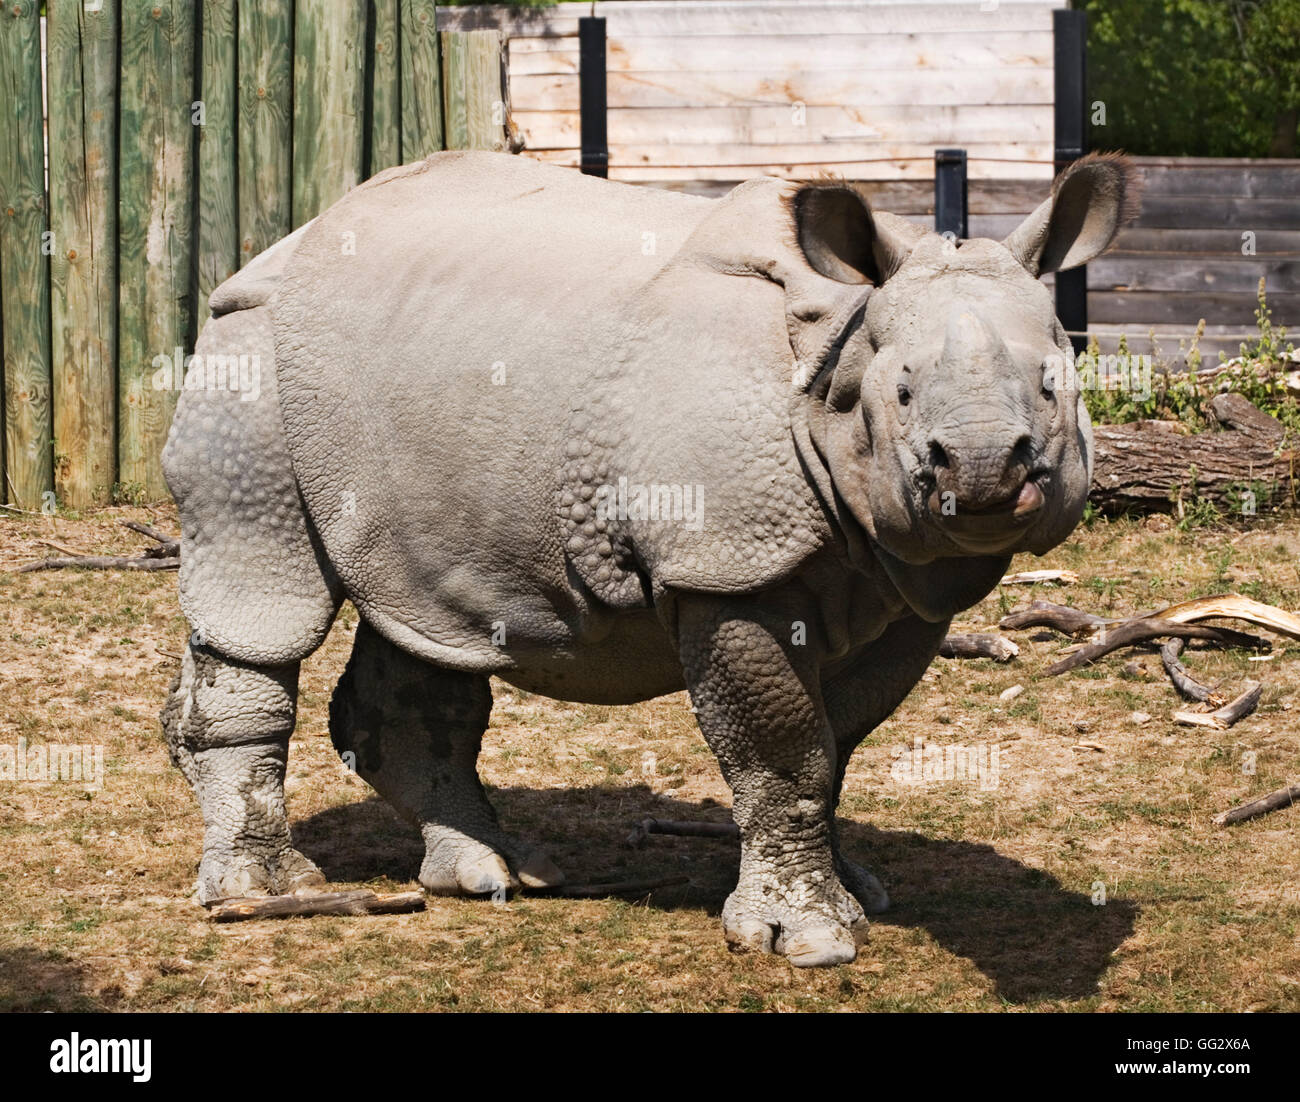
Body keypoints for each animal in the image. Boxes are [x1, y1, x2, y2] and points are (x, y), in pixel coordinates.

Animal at [161, 150, 1137, 966]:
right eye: (899, 393)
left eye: (1056, 381)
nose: (982, 472)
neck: (836, 351)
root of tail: (292, 238)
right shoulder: (726, 566)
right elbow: (786, 749)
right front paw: (807, 939)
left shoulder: (902, 590)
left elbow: (839, 743)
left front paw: (859, 892)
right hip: (253, 353)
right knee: (268, 596)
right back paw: (268, 891)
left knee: (431, 621)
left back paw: (498, 871)